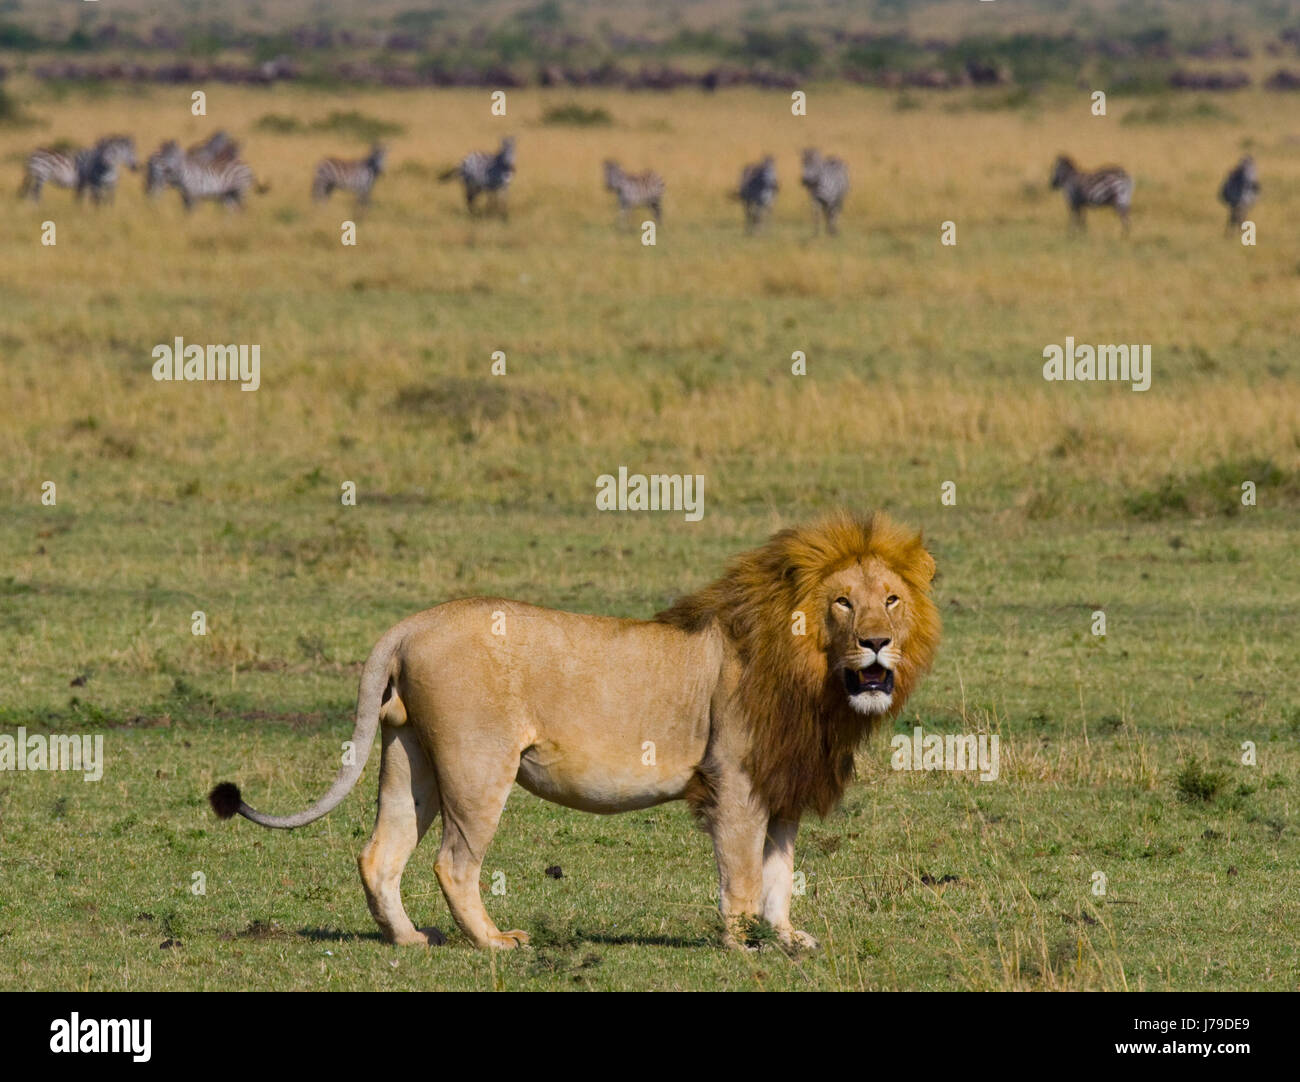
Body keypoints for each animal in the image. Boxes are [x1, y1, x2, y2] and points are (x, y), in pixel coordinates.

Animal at [209, 511, 940, 951]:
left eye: (890, 599)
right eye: (842, 602)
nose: (877, 643)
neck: (814, 678)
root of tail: (410, 624)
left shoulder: (784, 779)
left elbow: (779, 873)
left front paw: (788, 939)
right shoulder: (734, 779)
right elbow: (740, 871)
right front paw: (740, 946)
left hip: (408, 756)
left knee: (379, 854)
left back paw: (409, 940)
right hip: (478, 764)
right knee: (453, 863)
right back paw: (494, 942)